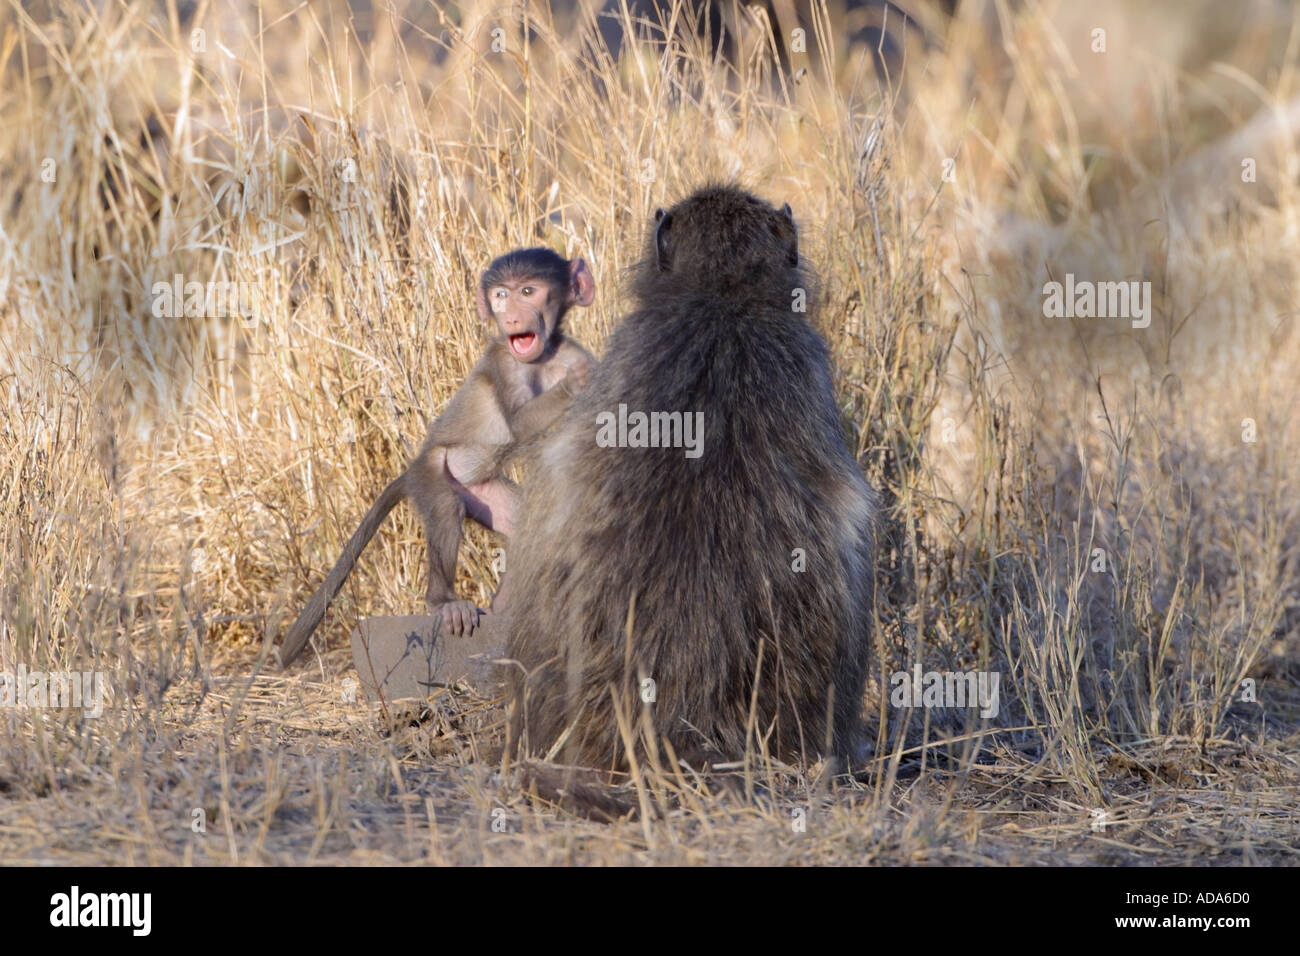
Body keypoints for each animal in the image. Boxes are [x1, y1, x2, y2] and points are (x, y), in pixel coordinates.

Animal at [277, 248, 596, 669]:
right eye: (501, 296)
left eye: (528, 291)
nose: (512, 318)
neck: (542, 358)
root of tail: (412, 467)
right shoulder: (503, 362)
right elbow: (519, 423)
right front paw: (574, 384)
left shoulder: (571, 349)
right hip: (432, 473)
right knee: (446, 508)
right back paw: (443, 602)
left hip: (480, 489)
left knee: (524, 523)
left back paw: (503, 609)